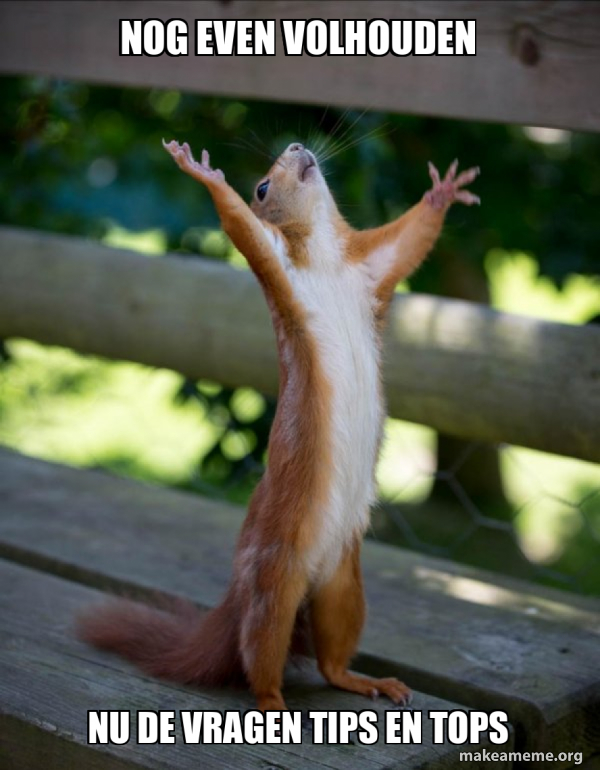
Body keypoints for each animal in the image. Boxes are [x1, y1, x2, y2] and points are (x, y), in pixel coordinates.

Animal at [78, 138, 479, 712]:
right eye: (262, 187)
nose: (296, 146)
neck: (326, 258)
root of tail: (238, 596)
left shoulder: (372, 267)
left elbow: (410, 240)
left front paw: (442, 192)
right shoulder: (276, 264)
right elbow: (240, 225)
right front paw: (204, 174)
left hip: (344, 586)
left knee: (332, 659)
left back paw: (365, 680)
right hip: (274, 583)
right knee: (259, 655)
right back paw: (274, 703)